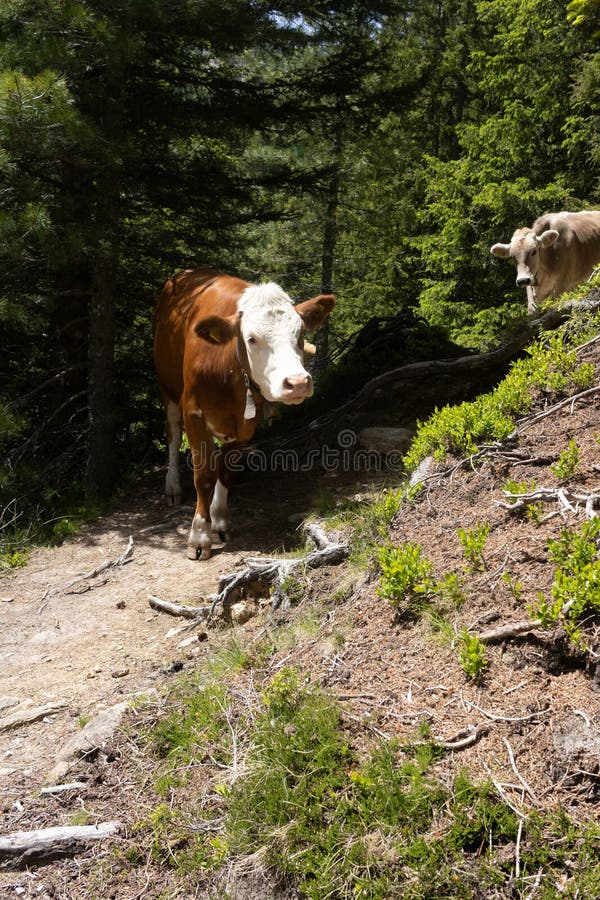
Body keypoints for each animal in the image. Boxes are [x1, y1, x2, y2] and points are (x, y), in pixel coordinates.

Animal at [153, 267, 335, 560]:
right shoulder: (193, 411)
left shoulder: (247, 422)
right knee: (172, 433)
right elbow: (204, 474)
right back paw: (173, 487)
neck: (228, 369)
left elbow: (225, 470)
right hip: (167, 385)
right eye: (251, 339)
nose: (297, 382)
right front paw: (199, 535)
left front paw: (219, 521)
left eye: (300, 335)